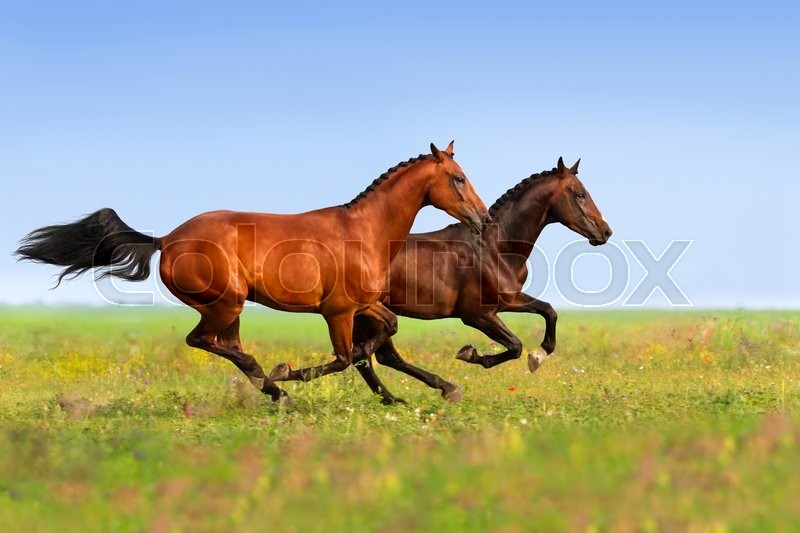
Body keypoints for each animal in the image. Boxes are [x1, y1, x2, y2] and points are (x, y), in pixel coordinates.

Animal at [16, 142, 491, 403]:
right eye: (458, 178)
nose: (484, 219)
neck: (364, 231)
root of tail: (166, 239)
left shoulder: (364, 305)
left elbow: (382, 335)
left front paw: (438, 388)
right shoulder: (337, 311)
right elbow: (345, 357)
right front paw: (291, 373)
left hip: (231, 309)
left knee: (226, 346)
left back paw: (273, 391)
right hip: (225, 304)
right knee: (203, 342)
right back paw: (276, 384)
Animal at [349, 157, 612, 404]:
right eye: (580, 194)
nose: (605, 231)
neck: (494, 248)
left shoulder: (508, 301)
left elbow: (548, 311)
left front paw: (538, 356)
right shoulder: (477, 315)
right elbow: (515, 345)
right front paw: (470, 354)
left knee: (375, 358)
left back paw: (402, 398)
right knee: (375, 357)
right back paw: (436, 391)